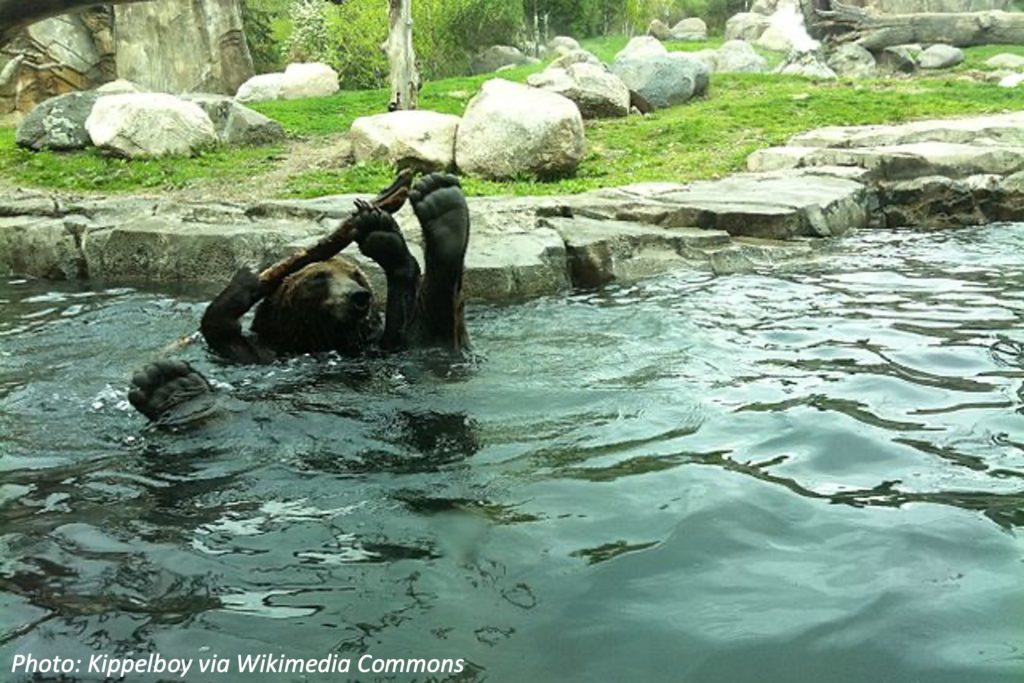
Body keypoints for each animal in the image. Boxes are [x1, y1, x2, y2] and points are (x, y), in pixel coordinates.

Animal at [128, 172, 470, 427]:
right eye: (318, 279)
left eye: (356, 277)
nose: (359, 297)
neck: (318, 340)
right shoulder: (256, 353)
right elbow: (222, 326)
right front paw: (246, 281)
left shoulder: (376, 346)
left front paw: (381, 230)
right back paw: (172, 389)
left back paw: (441, 210)